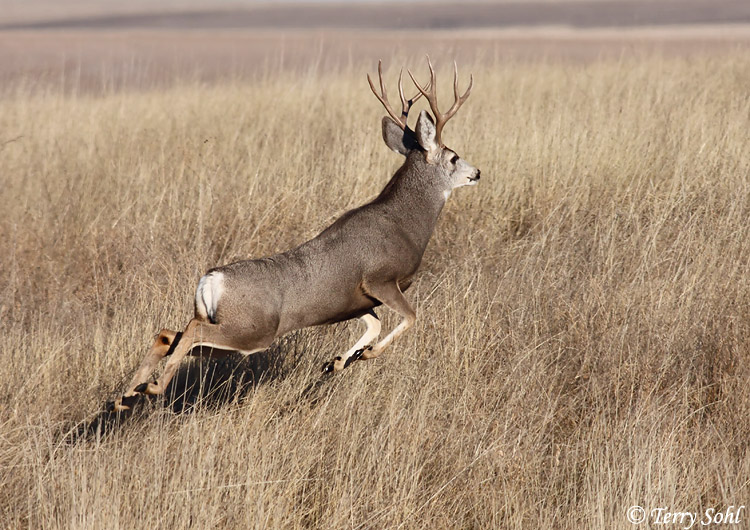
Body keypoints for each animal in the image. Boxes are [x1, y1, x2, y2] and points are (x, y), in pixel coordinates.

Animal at [110, 57, 480, 412]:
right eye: (453, 157)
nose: (476, 172)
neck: (405, 224)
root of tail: (210, 279)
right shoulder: (380, 279)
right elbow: (411, 316)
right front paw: (367, 354)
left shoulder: (352, 302)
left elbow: (373, 326)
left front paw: (338, 361)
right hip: (251, 331)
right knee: (188, 330)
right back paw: (150, 387)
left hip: (228, 336)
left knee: (168, 334)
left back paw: (126, 396)